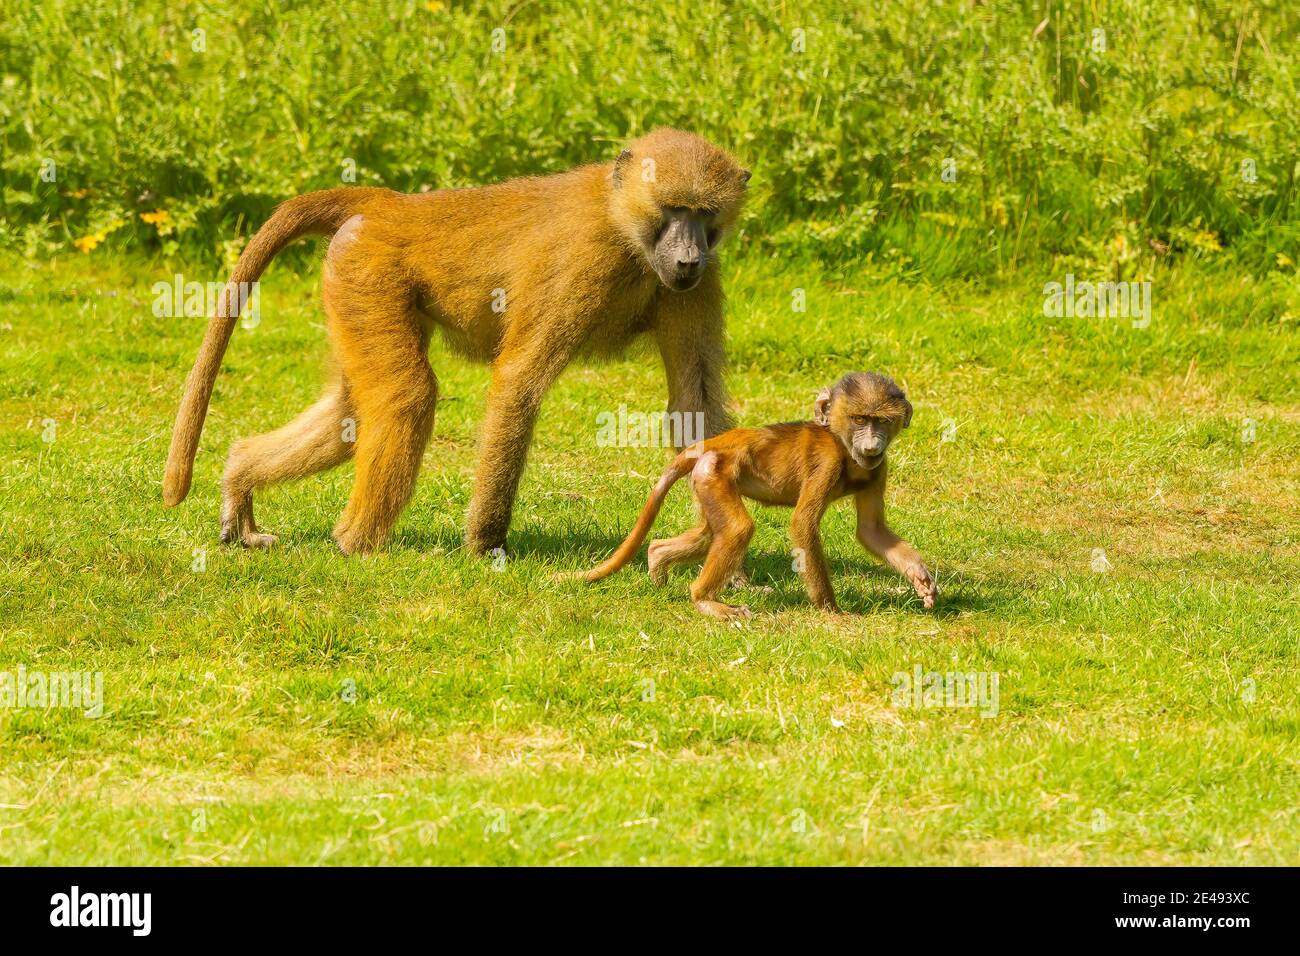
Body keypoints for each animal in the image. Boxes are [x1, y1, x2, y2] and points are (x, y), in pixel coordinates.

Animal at [161, 129, 750, 556]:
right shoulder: (582, 262)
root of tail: (392, 204)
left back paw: (241, 479)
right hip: (368, 274)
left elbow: (695, 401)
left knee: (351, 416)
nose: (687, 259)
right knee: (406, 396)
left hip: (353, 285)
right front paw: (487, 543)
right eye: (672, 210)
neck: (624, 225)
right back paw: (356, 544)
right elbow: (520, 381)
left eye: (703, 215)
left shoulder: (698, 285)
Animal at [561, 372, 937, 619]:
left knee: (709, 533)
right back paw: (704, 600)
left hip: (704, 481)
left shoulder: (879, 467)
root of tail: (715, 443)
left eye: (881, 421)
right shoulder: (827, 462)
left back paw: (657, 557)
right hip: (715, 474)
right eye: (859, 418)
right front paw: (830, 609)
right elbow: (803, 524)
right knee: (737, 529)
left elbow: (871, 531)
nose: (872, 445)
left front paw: (920, 577)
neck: (843, 447)